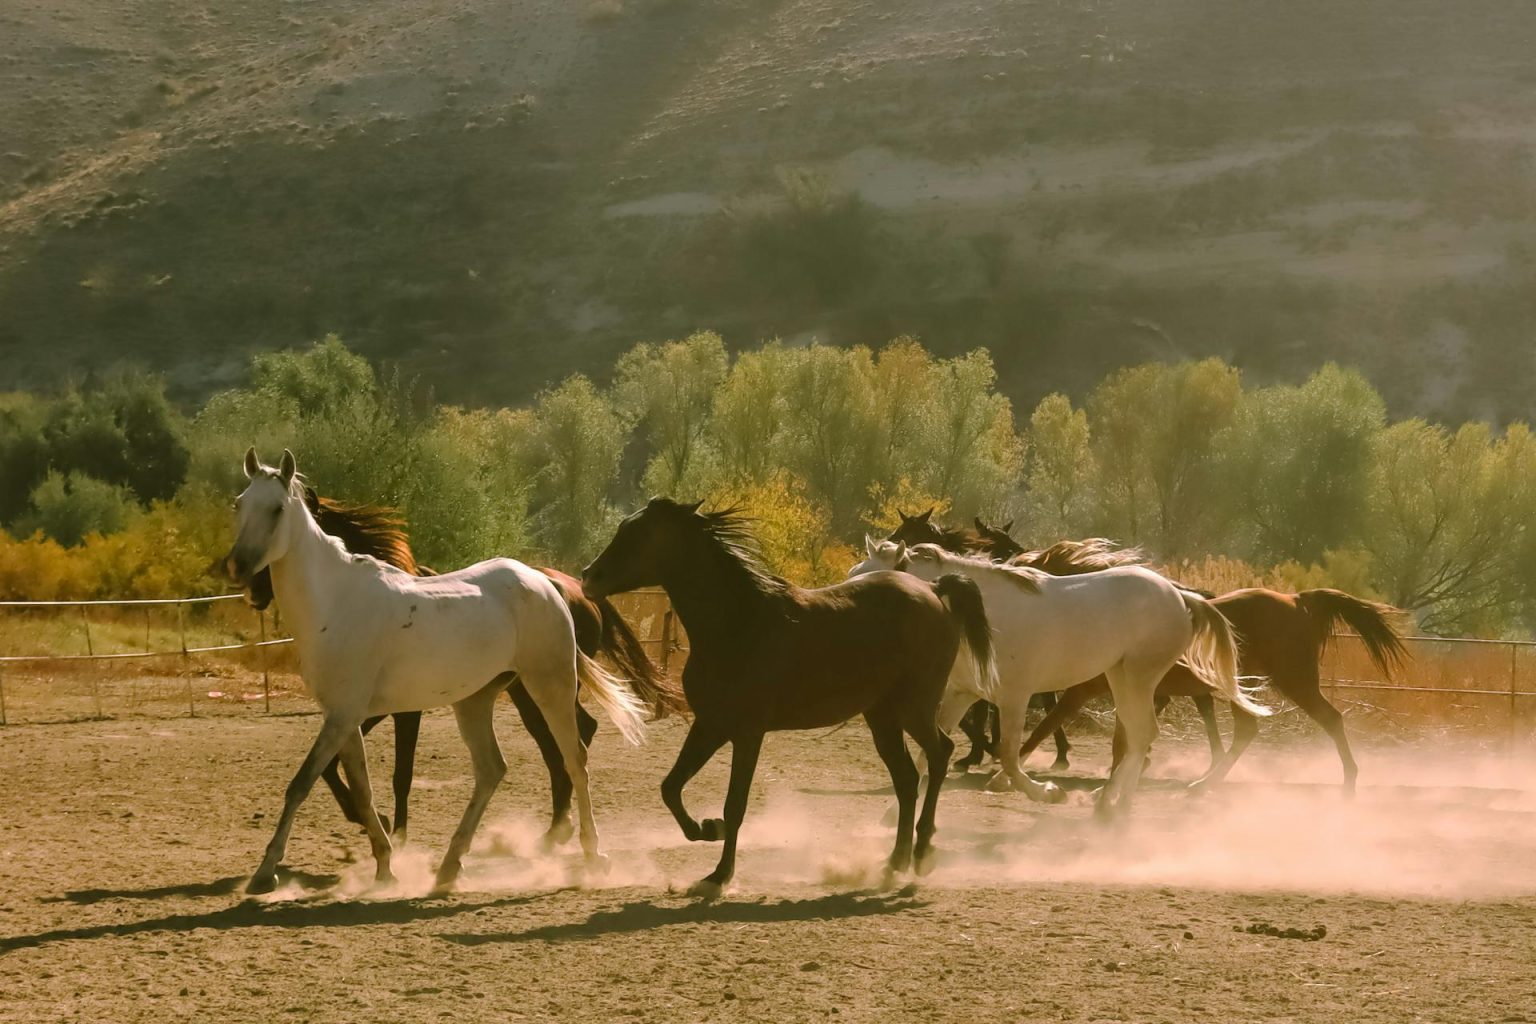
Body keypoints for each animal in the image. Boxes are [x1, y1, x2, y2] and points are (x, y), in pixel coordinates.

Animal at [224, 448, 648, 894]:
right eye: (239, 504)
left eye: (276, 508)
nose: (238, 567)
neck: (337, 602)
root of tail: (547, 585)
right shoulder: (346, 717)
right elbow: (361, 791)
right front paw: (385, 867)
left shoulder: (345, 716)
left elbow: (303, 783)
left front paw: (265, 872)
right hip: (476, 699)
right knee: (492, 769)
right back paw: (449, 865)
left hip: (549, 686)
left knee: (573, 758)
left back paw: (592, 857)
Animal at [581, 498, 999, 897]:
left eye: (638, 535)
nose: (588, 577)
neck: (738, 624)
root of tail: (933, 590)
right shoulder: (710, 725)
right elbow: (670, 788)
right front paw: (707, 829)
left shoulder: (747, 733)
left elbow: (735, 805)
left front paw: (719, 876)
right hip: (882, 717)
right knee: (907, 779)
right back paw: (894, 862)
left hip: (913, 708)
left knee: (939, 754)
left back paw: (922, 853)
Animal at [850, 539, 1272, 819]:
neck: (980, 613)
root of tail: (1182, 598)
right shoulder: (961, 695)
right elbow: (931, 749)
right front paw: (892, 814)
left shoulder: (1013, 698)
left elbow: (1009, 756)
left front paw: (1049, 793)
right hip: (1120, 677)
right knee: (1138, 737)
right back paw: (1110, 802)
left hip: (1139, 678)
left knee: (1142, 736)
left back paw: (1118, 807)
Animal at [1016, 587, 1406, 790]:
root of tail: (1297, 600)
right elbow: (1121, 741)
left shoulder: (1081, 693)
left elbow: (1042, 729)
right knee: (1250, 729)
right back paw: (1206, 781)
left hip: (1294, 681)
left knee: (1329, 719)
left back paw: (1349, 782)